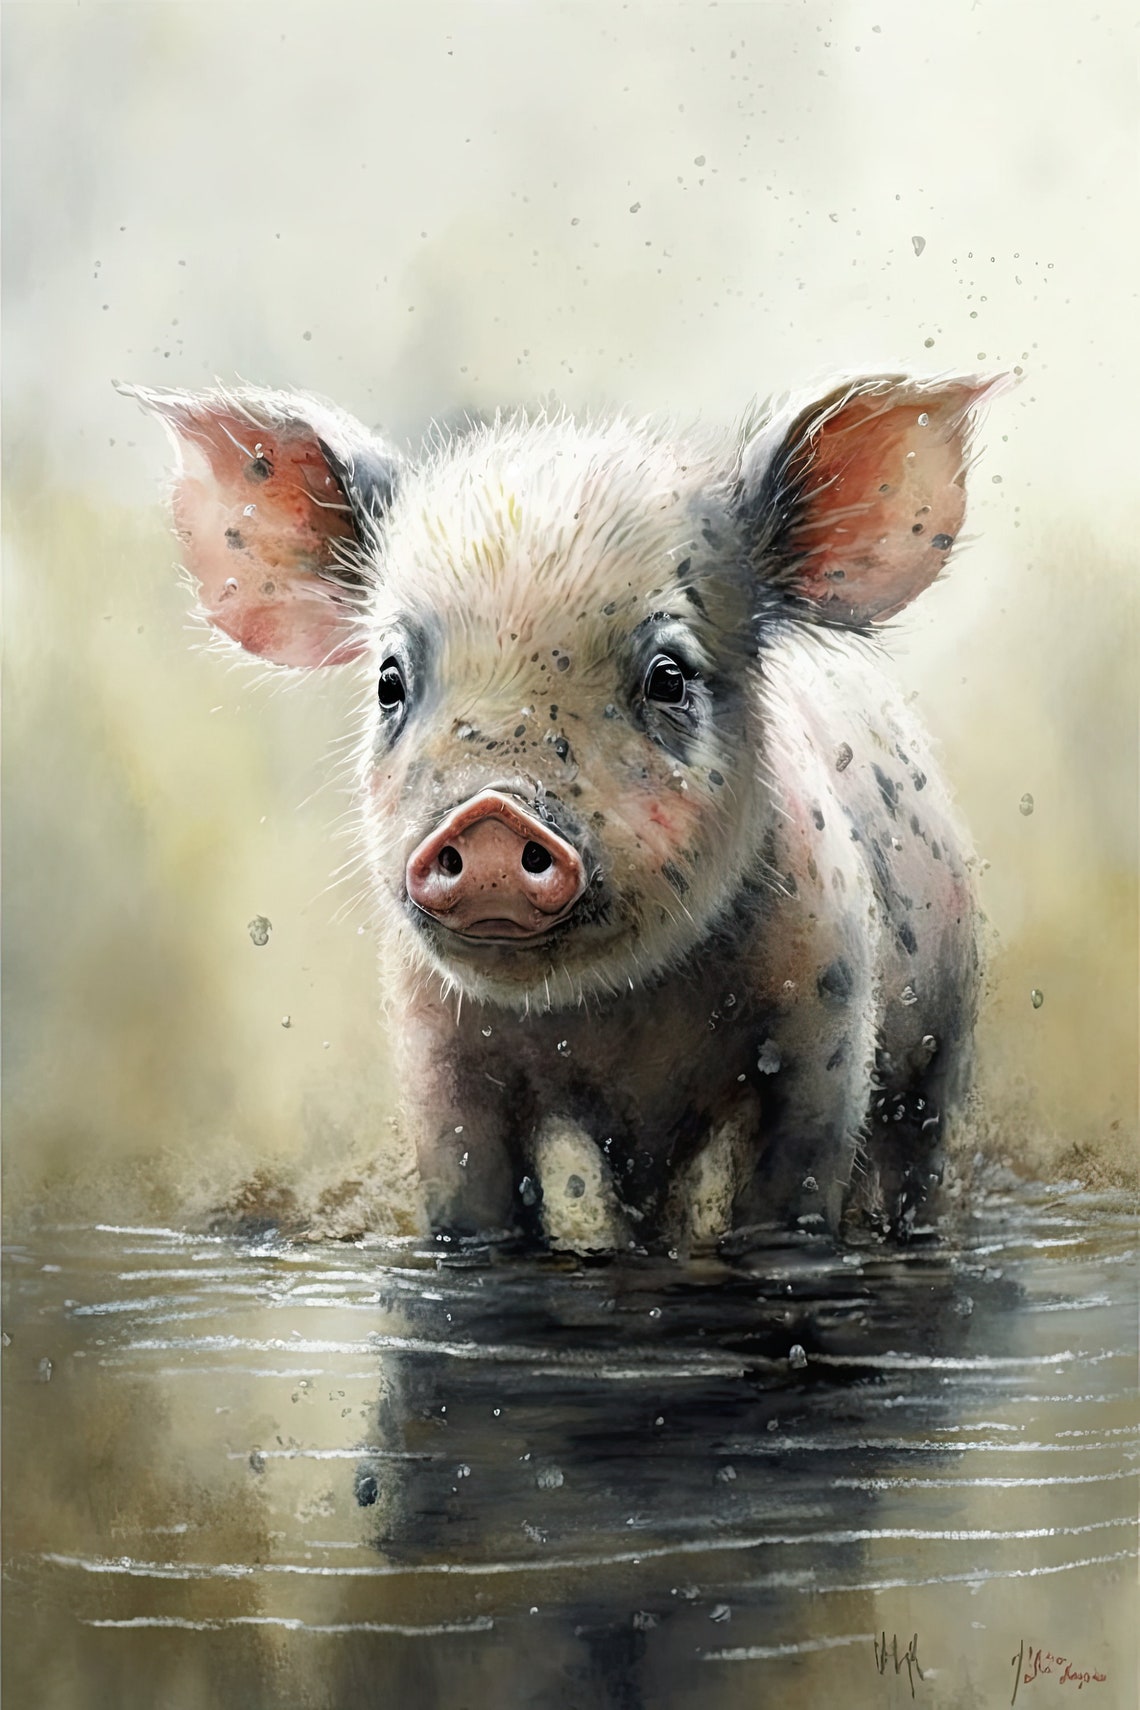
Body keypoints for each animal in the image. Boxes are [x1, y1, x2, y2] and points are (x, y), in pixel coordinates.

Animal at [122, 373, 999, 1250]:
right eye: (388, 681)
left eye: (669, 676)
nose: (489, 817)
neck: (620, 1017)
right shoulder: (435, 1048)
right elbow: (473, 1204)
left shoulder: (828, 1022)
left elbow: (790, 1196)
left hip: (945, 1036)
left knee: (915, 1157)